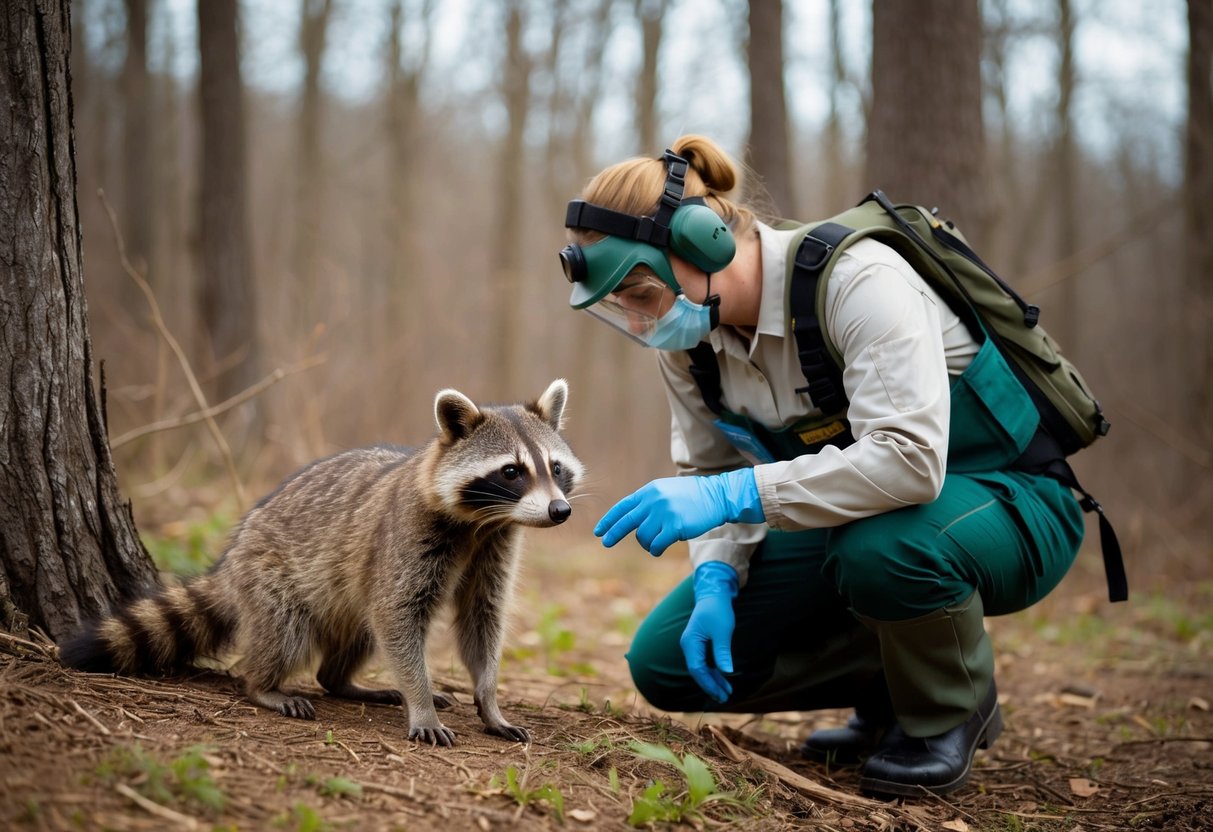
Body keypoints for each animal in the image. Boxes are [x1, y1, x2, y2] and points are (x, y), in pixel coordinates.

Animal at [60, 379, 583, 746]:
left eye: (554, 468)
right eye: (511, 472)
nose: (560, 511)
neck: (480, 523)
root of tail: (232, 559)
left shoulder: (495, 546)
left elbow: (482, 617)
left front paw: (488, 700)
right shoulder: (406, 535)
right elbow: (397, 615)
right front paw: (420, 701)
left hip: (341, 594)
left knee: (359, 635)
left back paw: (343, 681)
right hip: (270, 578)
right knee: (287, 634)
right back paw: (263, 683)